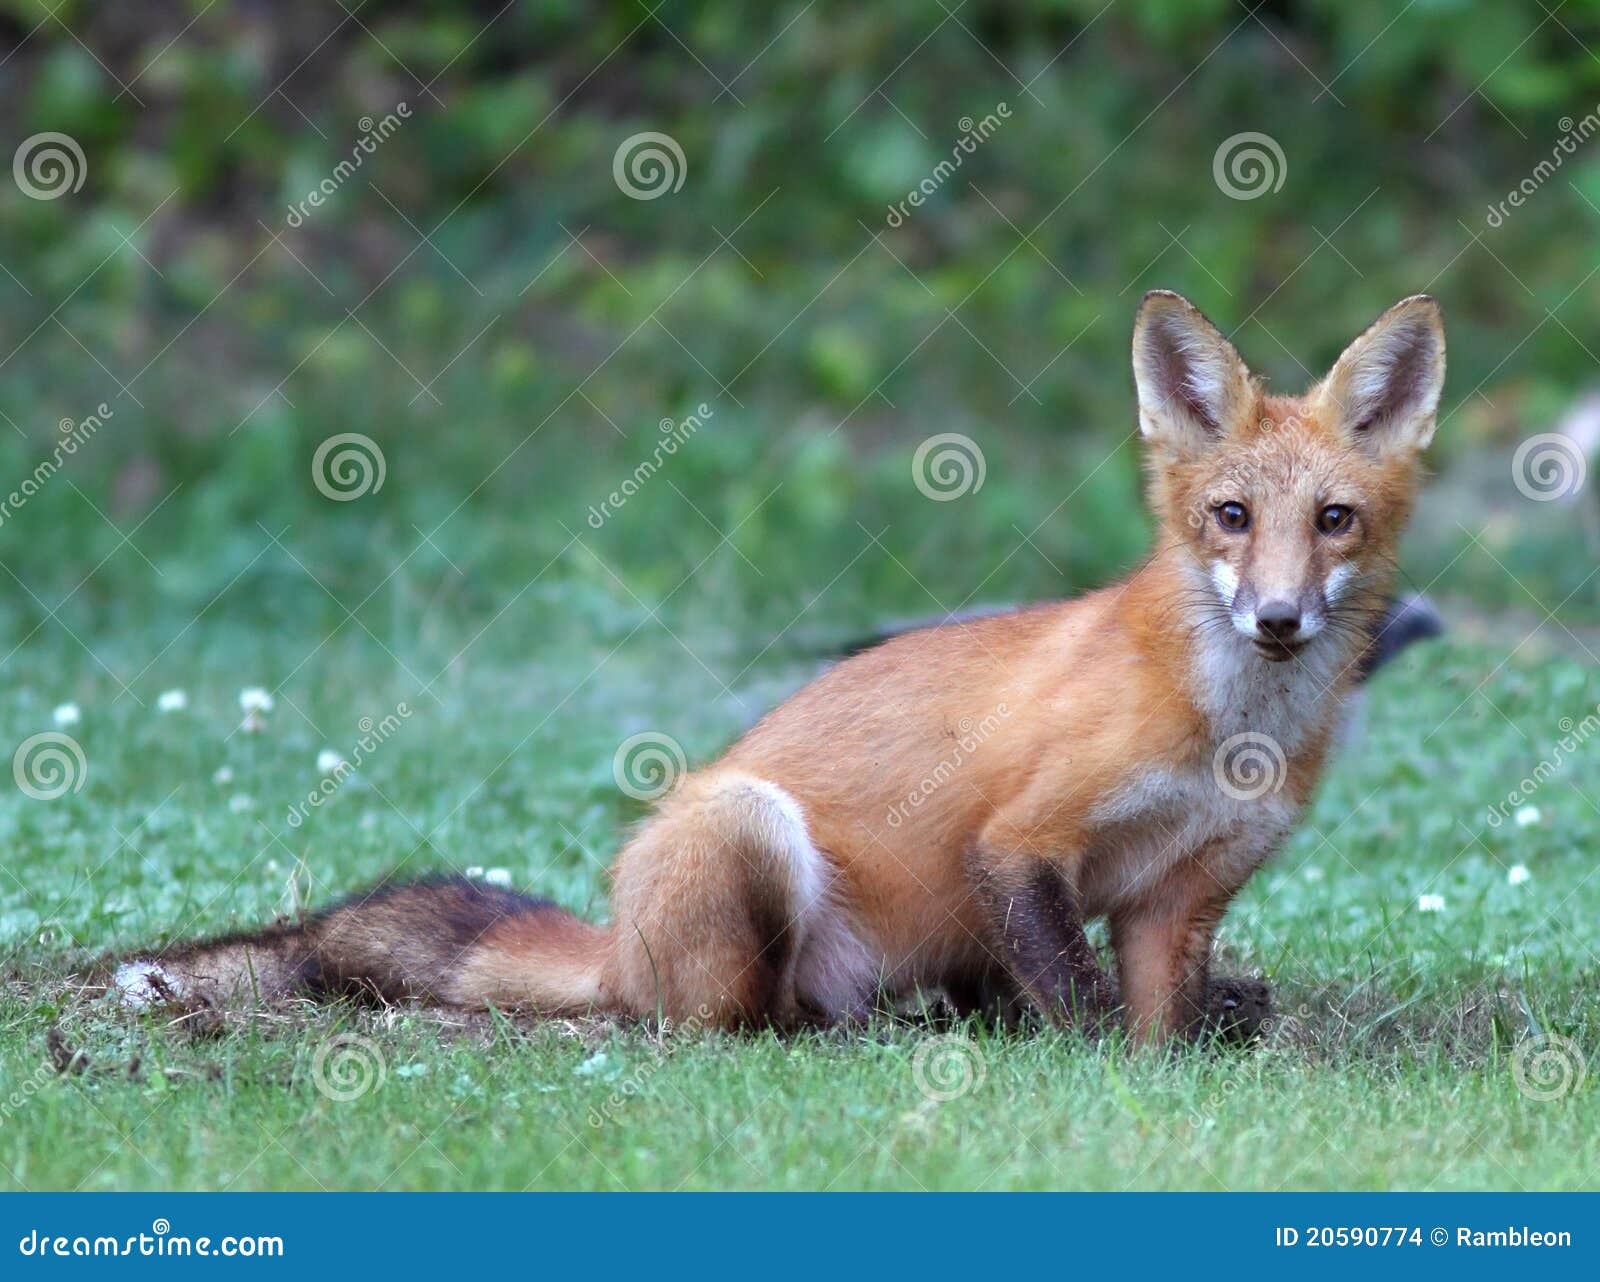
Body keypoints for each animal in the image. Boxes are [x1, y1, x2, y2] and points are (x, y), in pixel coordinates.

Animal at [109, 290, 1446, 1044]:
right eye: (1230, 516)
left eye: (1331, 521)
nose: (1277, 618)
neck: (1230, 733)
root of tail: (615, 935)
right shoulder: (1021, 842)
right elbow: (1081, 1003)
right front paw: (1090, 1075)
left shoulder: (1182, 898)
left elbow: (1157, 1029)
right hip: (749, 831)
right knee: (722, 1023)